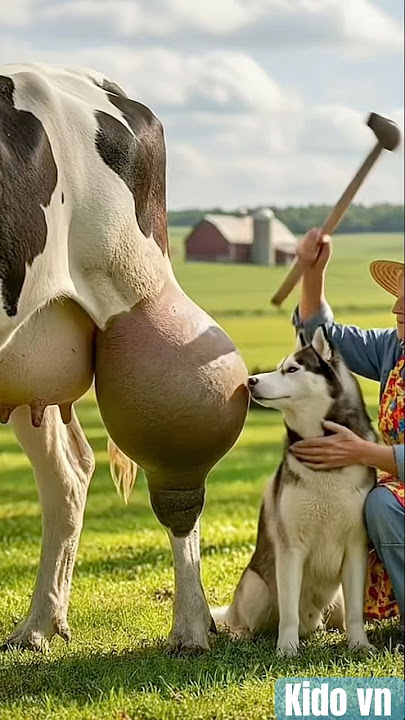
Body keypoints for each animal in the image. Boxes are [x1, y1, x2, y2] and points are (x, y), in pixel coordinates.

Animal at [0, 63, 249, 654]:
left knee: (178, 494)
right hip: (28, 365)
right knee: (69, 474)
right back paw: (39, 624)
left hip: (140, 294)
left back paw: (190, 629)